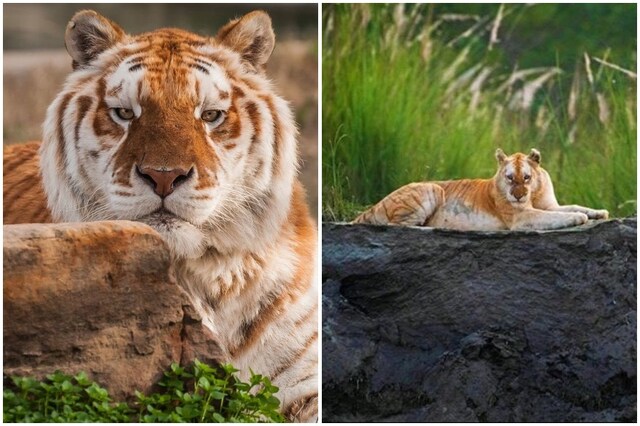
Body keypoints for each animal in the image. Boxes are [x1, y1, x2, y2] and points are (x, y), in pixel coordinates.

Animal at [353, 148, 609, 231]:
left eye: (526, 178)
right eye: (509, 178)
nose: (518, 196)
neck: (533, 193)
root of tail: (372, 207)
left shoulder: (549, 204)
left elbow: (571, 206)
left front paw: (598, 212)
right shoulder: (520, 217)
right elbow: (556, 216)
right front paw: (579, 217)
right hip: (431, 189)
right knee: (398, 226)